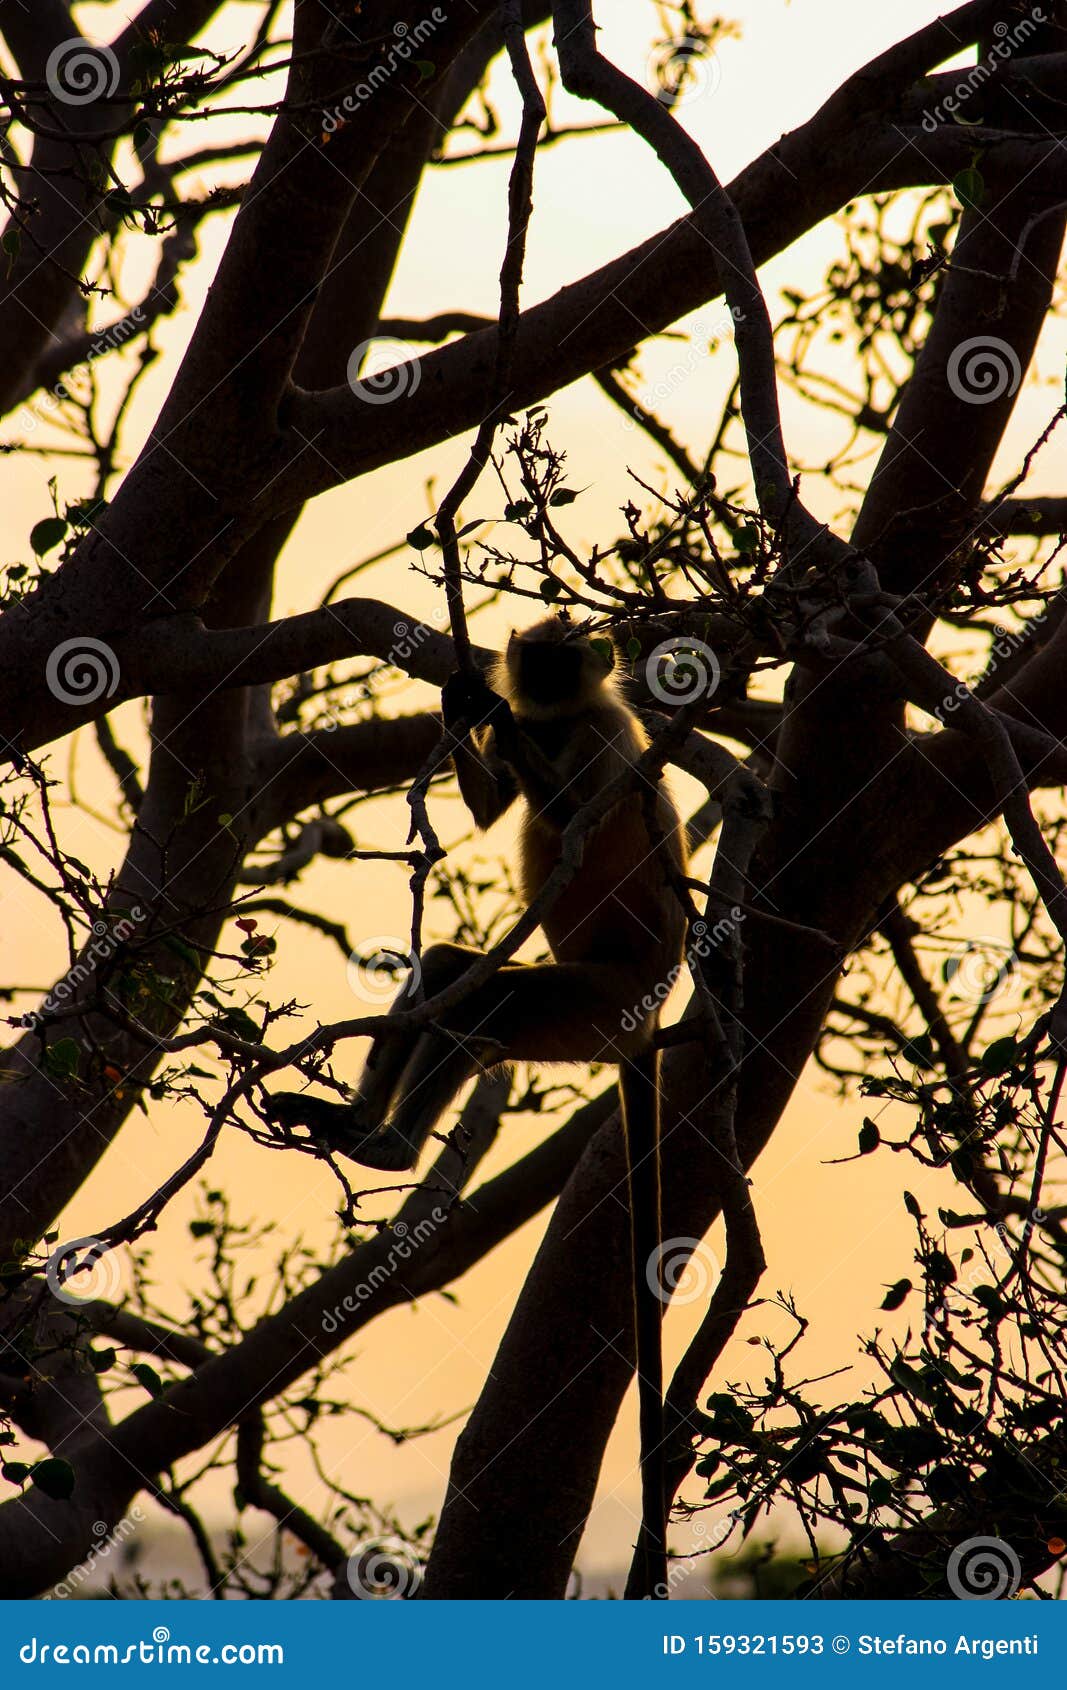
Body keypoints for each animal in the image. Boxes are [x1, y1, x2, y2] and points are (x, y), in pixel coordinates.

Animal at [269, 614, 687, 1598]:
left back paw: (387, 1152)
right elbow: (500, 812)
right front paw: (465, 701)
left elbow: (573, 813)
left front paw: (492, 709)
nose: (536, 677)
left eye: (566, 659)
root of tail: (646, 1021)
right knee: (451, 970)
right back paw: (353, 1126)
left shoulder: (606, 737)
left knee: (489, 1000)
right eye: (538, 652)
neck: (562, 718)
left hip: (583, 1009)